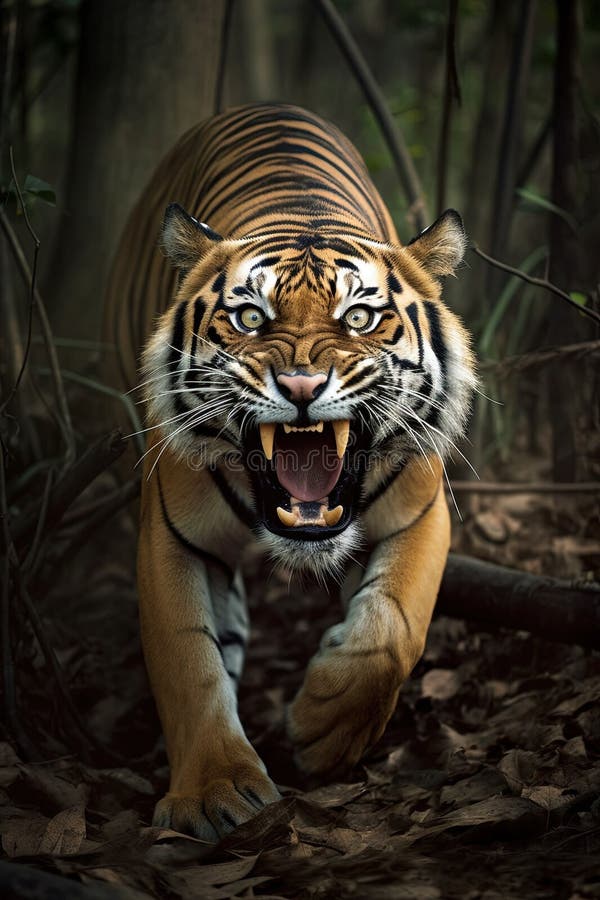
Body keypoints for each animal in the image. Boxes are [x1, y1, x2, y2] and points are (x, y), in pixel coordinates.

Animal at [105, 103, 475, 841]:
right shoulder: (172, 535)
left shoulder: (421, 513)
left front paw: (325, 727)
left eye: (359, 318)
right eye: (250, 316)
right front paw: (214, 791)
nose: (302, 384)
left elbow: (395, 627)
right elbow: (188, 663)